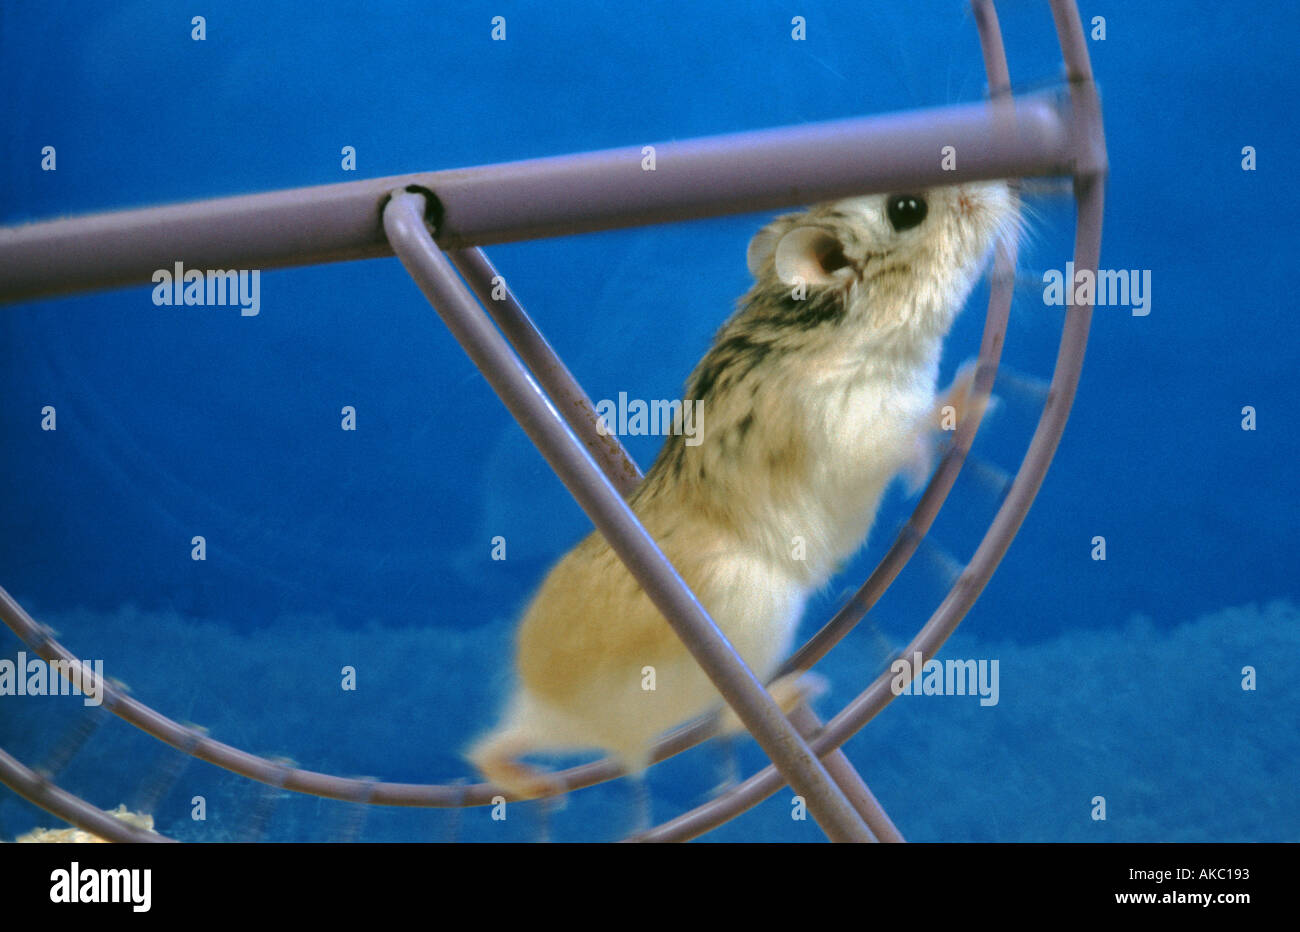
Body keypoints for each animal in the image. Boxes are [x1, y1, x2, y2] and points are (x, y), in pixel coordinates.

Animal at [468, 181, 1020, 799]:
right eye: (907, 209)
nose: (1006, 188)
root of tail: (549, 688)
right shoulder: (860, 431)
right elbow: (920, 428)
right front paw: (977, 391)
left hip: (564, 719)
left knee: (491, 745)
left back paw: (540, 789)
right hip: (752, 618)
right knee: (730, 720)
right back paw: (801, 692)